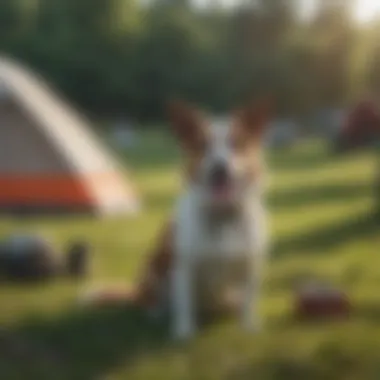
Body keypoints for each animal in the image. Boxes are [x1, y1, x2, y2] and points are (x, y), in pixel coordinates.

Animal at [135, 99, 272, 340]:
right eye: (203, 145)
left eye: (236, 143)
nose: (219, 167)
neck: (222, 215)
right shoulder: (184, 267)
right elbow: (185, 303)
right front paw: (184, 331)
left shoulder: (251, 265)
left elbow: (249, 300)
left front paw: (249, 327)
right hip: (150, 270)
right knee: (153, 299)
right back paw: (156, 313)